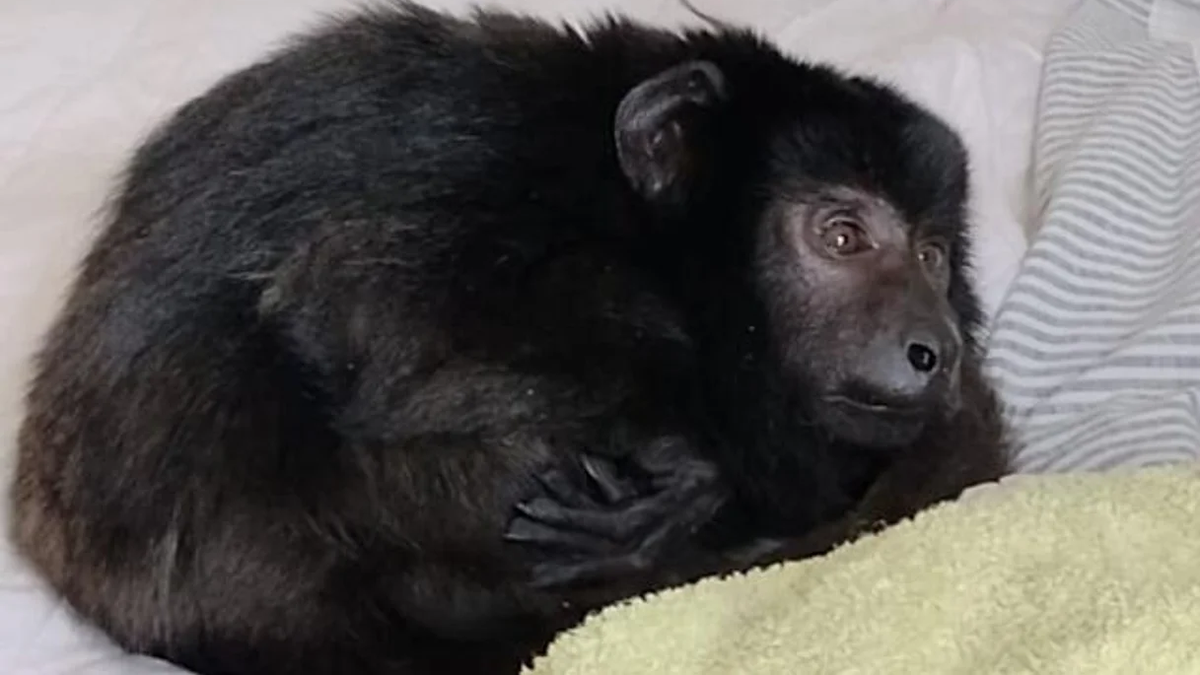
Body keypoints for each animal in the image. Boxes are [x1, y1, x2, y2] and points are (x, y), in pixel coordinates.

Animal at [8, 2, 1011, 674]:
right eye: (842, 236)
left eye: (931, 254)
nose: (936, 344)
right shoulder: (490, 166)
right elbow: (350, 307)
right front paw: (695, 469)